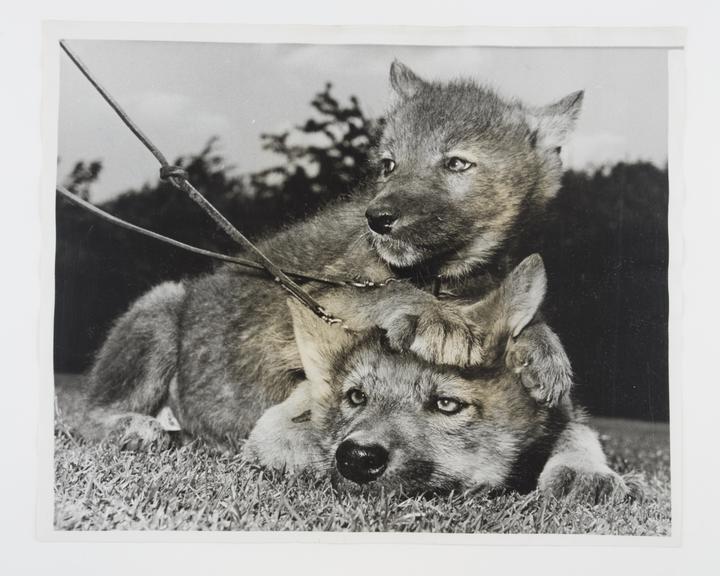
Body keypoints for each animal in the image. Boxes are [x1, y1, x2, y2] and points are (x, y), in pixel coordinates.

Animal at [245, 255, 630, 499]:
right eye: (356, 397)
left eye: (446, 404)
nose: (356, 458)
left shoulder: (566, 414)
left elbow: (578, 435)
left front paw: (586, 472)